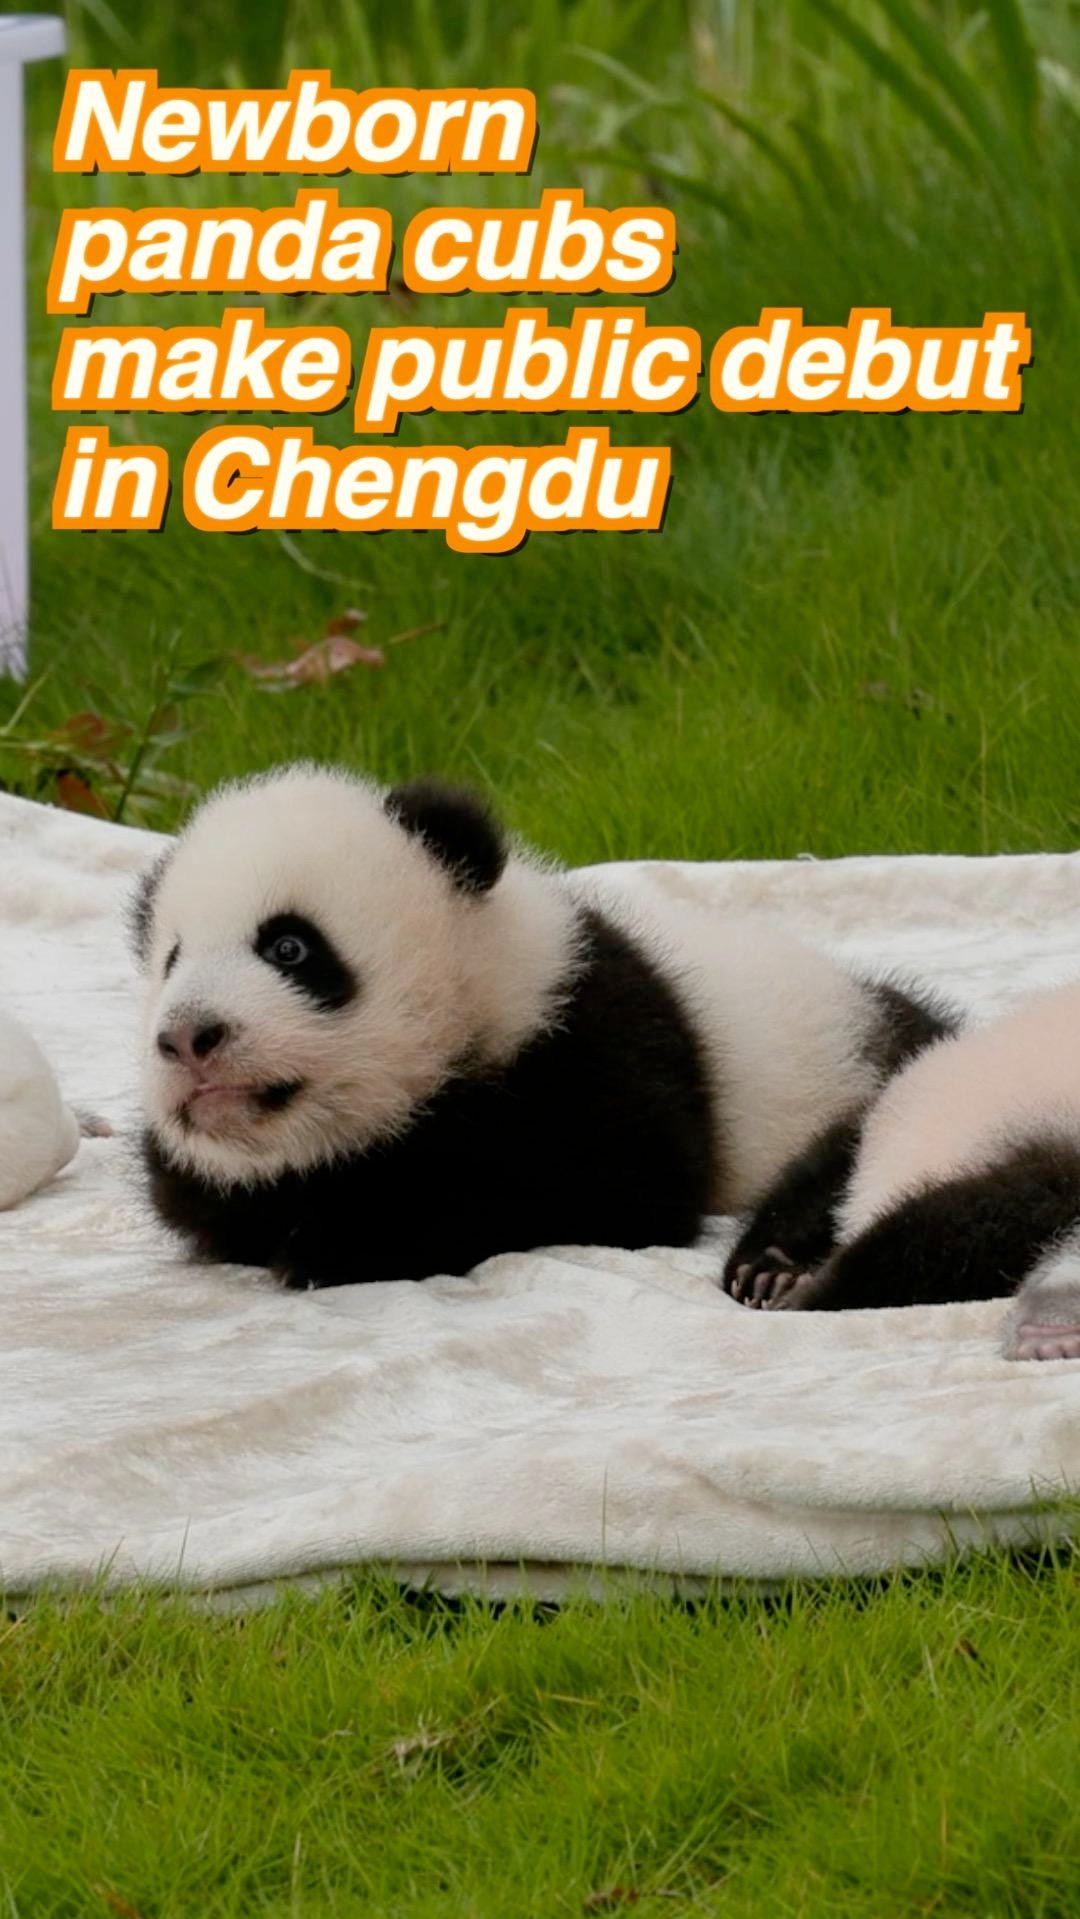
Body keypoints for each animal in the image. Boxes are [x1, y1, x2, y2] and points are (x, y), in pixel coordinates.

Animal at [132, 763, 959, 1291]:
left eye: (290, 947)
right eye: (171, 959)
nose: (188, 1037)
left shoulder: (592, 1042)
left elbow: (605, 1188)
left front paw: (341, 1242)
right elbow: (199, 1196)